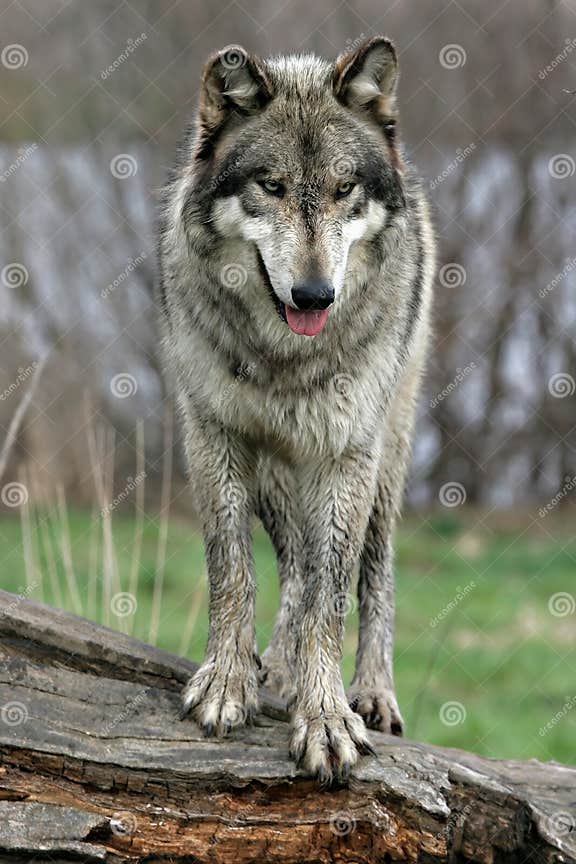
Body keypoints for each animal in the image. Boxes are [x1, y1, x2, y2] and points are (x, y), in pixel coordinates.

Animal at [157, 36, 435, 782]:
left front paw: (328, 717)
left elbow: (332, 598)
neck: (285, 358)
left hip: (384, 459)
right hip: (276, 471)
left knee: (370, 571)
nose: (314, 295)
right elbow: (233, 569)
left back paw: (370, 692)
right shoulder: (212, 435)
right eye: (272, 187)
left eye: (344, 190)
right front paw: (228, 682)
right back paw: (277, 665)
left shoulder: (346, 455)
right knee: (294, 565)